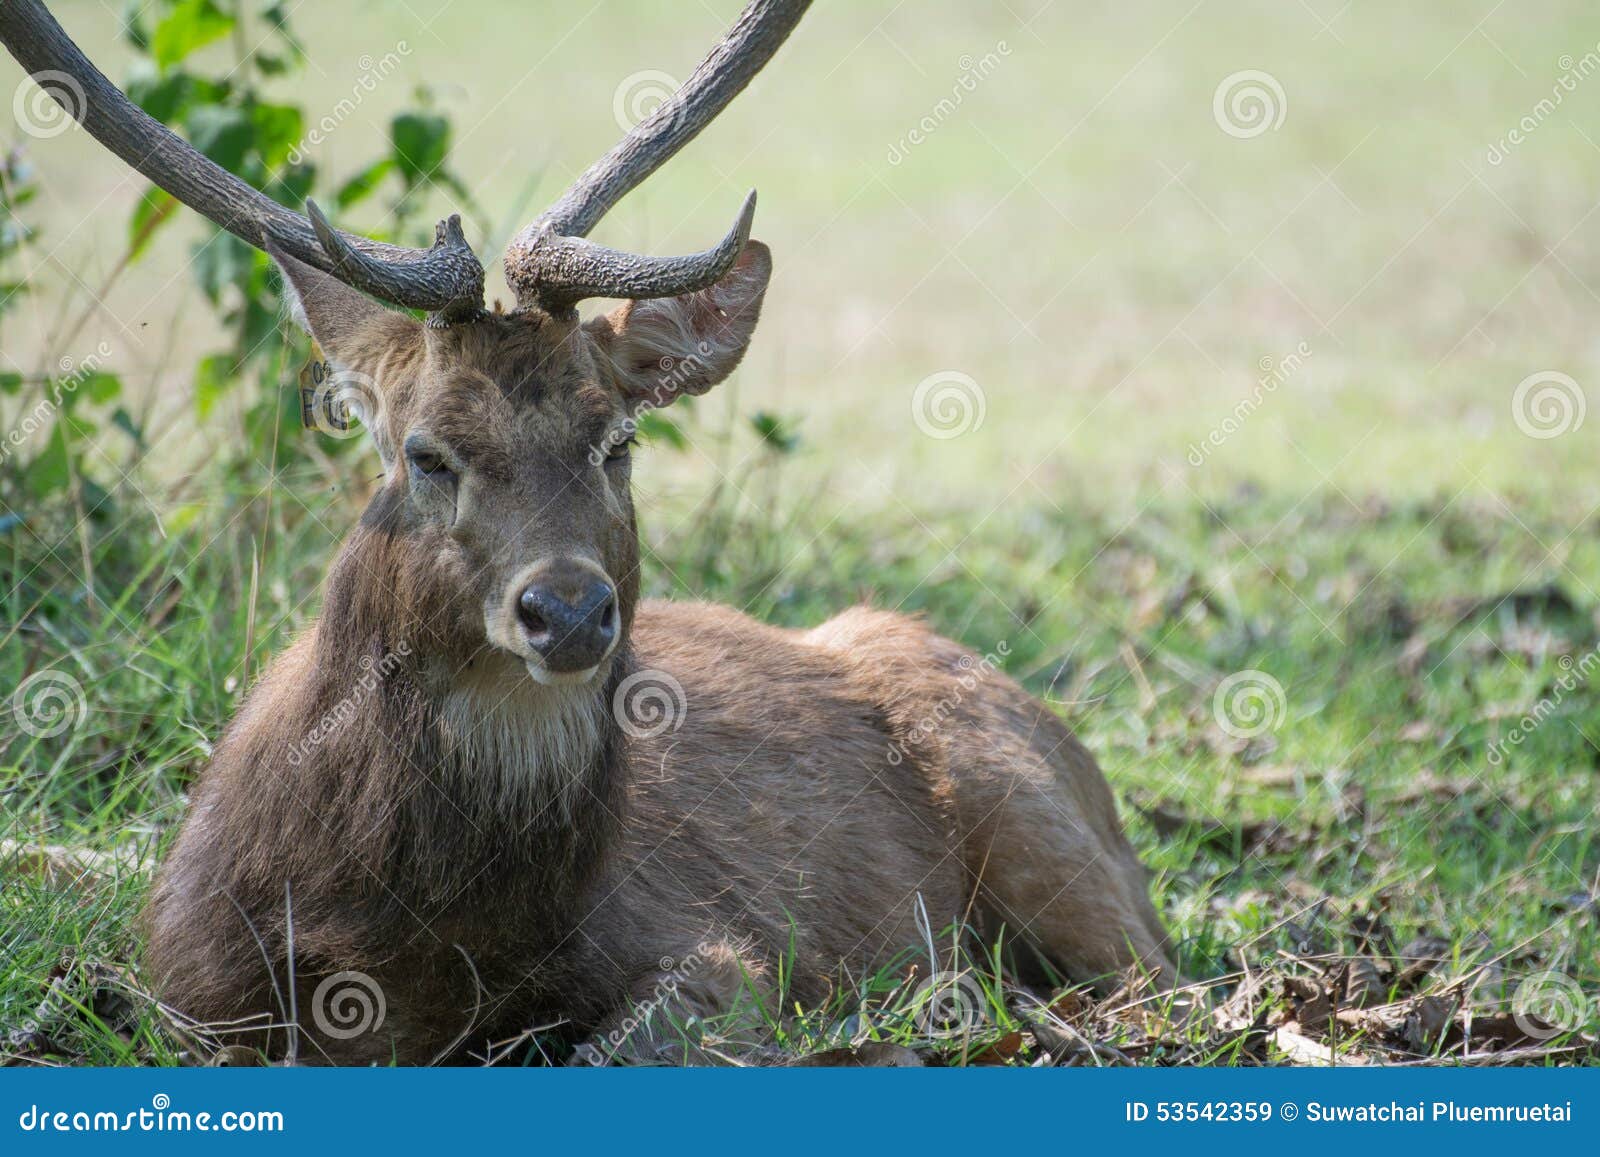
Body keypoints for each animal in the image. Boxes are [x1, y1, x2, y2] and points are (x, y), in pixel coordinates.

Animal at [3, 0, 1181, 1064]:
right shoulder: (188, 978)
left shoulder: (717, 944)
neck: (394, 947)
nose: (566, 608)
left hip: (1041, 821)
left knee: (1158, 982)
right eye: (426, 452)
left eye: (616, 437)